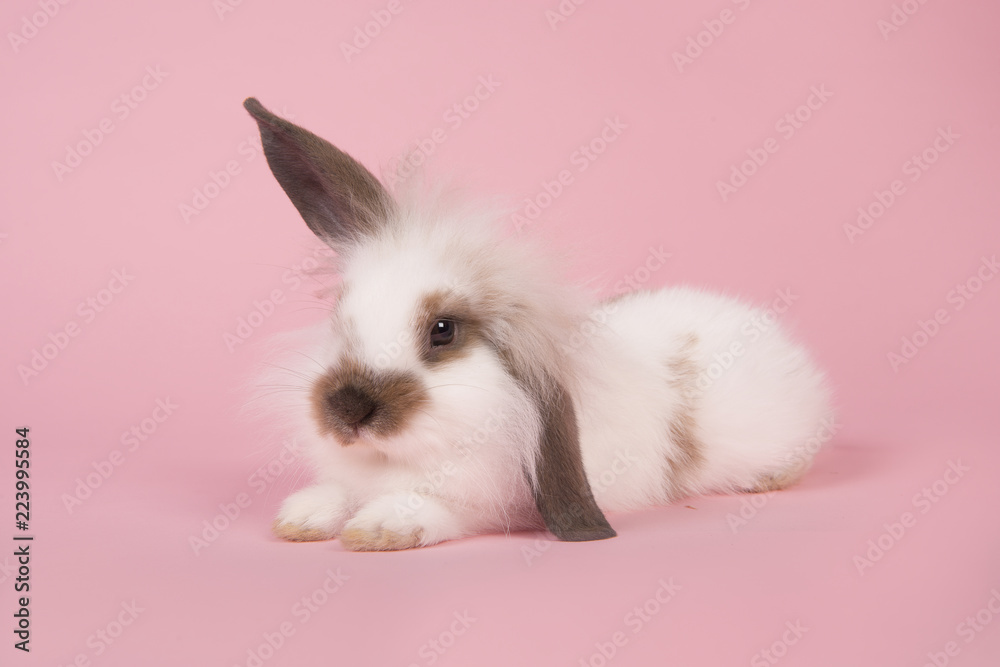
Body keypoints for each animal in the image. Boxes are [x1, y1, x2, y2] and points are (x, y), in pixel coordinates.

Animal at [243, 97, 834, 552]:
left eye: (443, 330)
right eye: (340, 314)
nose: (347, 410)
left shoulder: (498, 502)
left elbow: (441, 507)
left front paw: (383, 527)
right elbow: (340, 492)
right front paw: (302, 516)